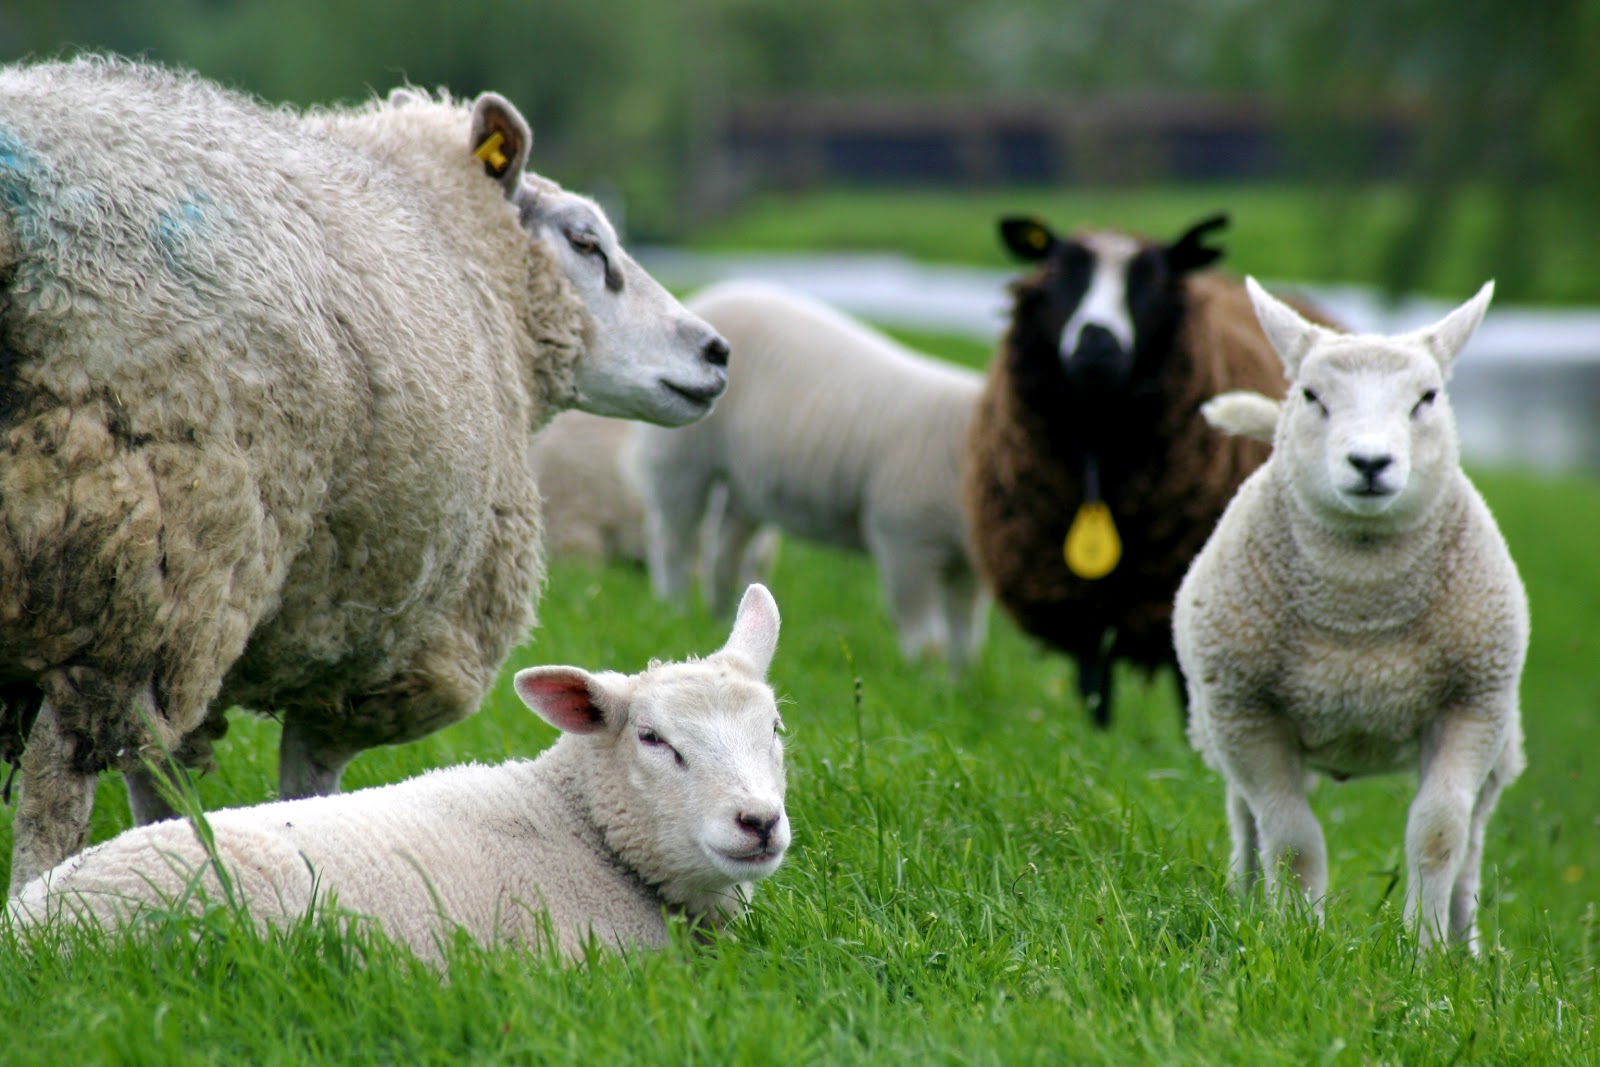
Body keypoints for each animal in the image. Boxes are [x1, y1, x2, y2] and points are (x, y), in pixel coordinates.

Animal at [0, 56, 730, 893]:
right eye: (587, 241)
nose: (716, 350)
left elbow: (163, 772)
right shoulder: (363, 652)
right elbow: (295, 780)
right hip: (148, 539)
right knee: (57, 776)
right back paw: (36, 892)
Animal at [632, 280, 991, 673]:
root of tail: (718, 292)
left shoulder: (966, 564)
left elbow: (966, 635)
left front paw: (957, 681)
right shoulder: (904, 538)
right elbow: (927, 640)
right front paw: (923, 679)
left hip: (744, 490)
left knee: (724, 553)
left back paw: (721, 620)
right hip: (679, 461)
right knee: (674, 543)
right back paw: (675, 610)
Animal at [962, 212, 1292, 728]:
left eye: (1154, 278)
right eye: (1057, 270)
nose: (1097, 343)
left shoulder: (1179, 592)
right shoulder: (1079, 603)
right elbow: (1094, 691)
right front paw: (1095, 738)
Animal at [1174, 279, 1526, 953]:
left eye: (1427, 398)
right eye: (1311, 395)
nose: (1369, 463)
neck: (1361, 613)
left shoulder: (1472, 704)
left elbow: (1439, 833)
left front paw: (1424, 950)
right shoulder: (1248, 713)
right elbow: (1291, 843)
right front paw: (1296, 937)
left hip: (1501, 738)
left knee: (1473, 841)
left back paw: (1467, 947)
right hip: (1220, 720)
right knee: (1246, 822)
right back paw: (1245, 904)